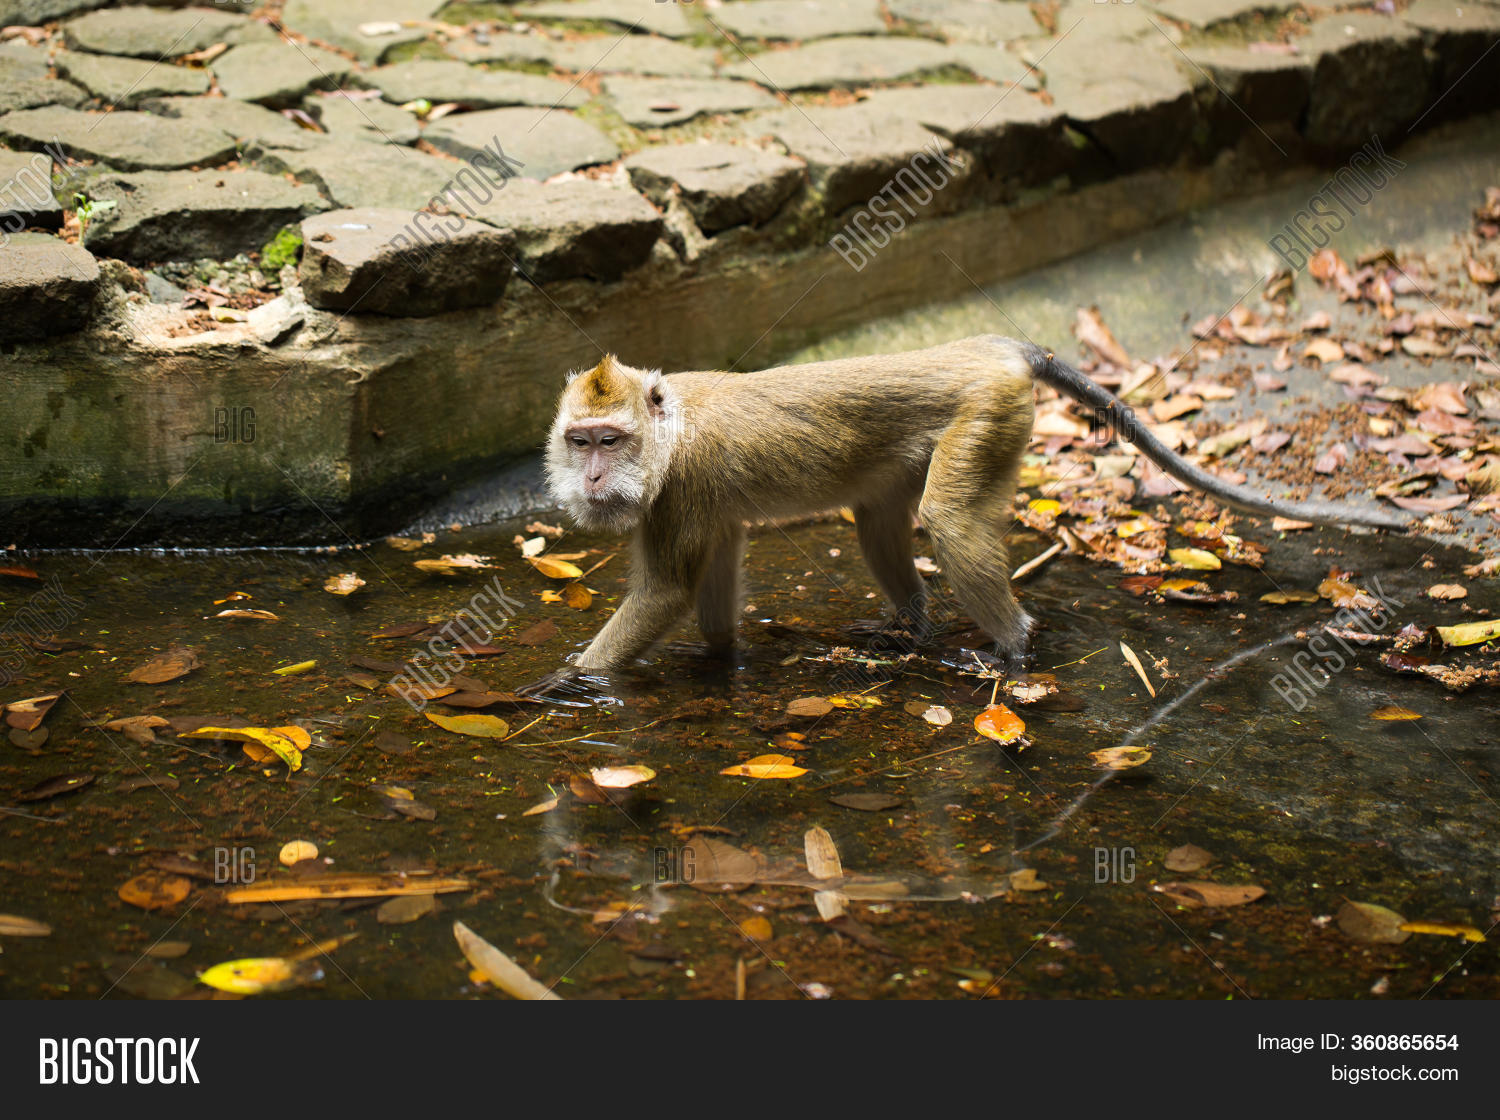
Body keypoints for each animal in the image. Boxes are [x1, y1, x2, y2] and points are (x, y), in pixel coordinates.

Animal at [521, 336, 1407, 696]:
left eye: (610, 441)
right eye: (579, 439)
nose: (592, 475)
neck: (666, 432)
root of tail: (990, 348)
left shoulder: (679, 487)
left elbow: (665, 592)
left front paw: (569, 682)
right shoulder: (697, 503)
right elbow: (710, 587)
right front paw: (717, 657)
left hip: (988, 414)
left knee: (947, 519)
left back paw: (1012, 652)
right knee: (877, 517)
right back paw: (913, 634)